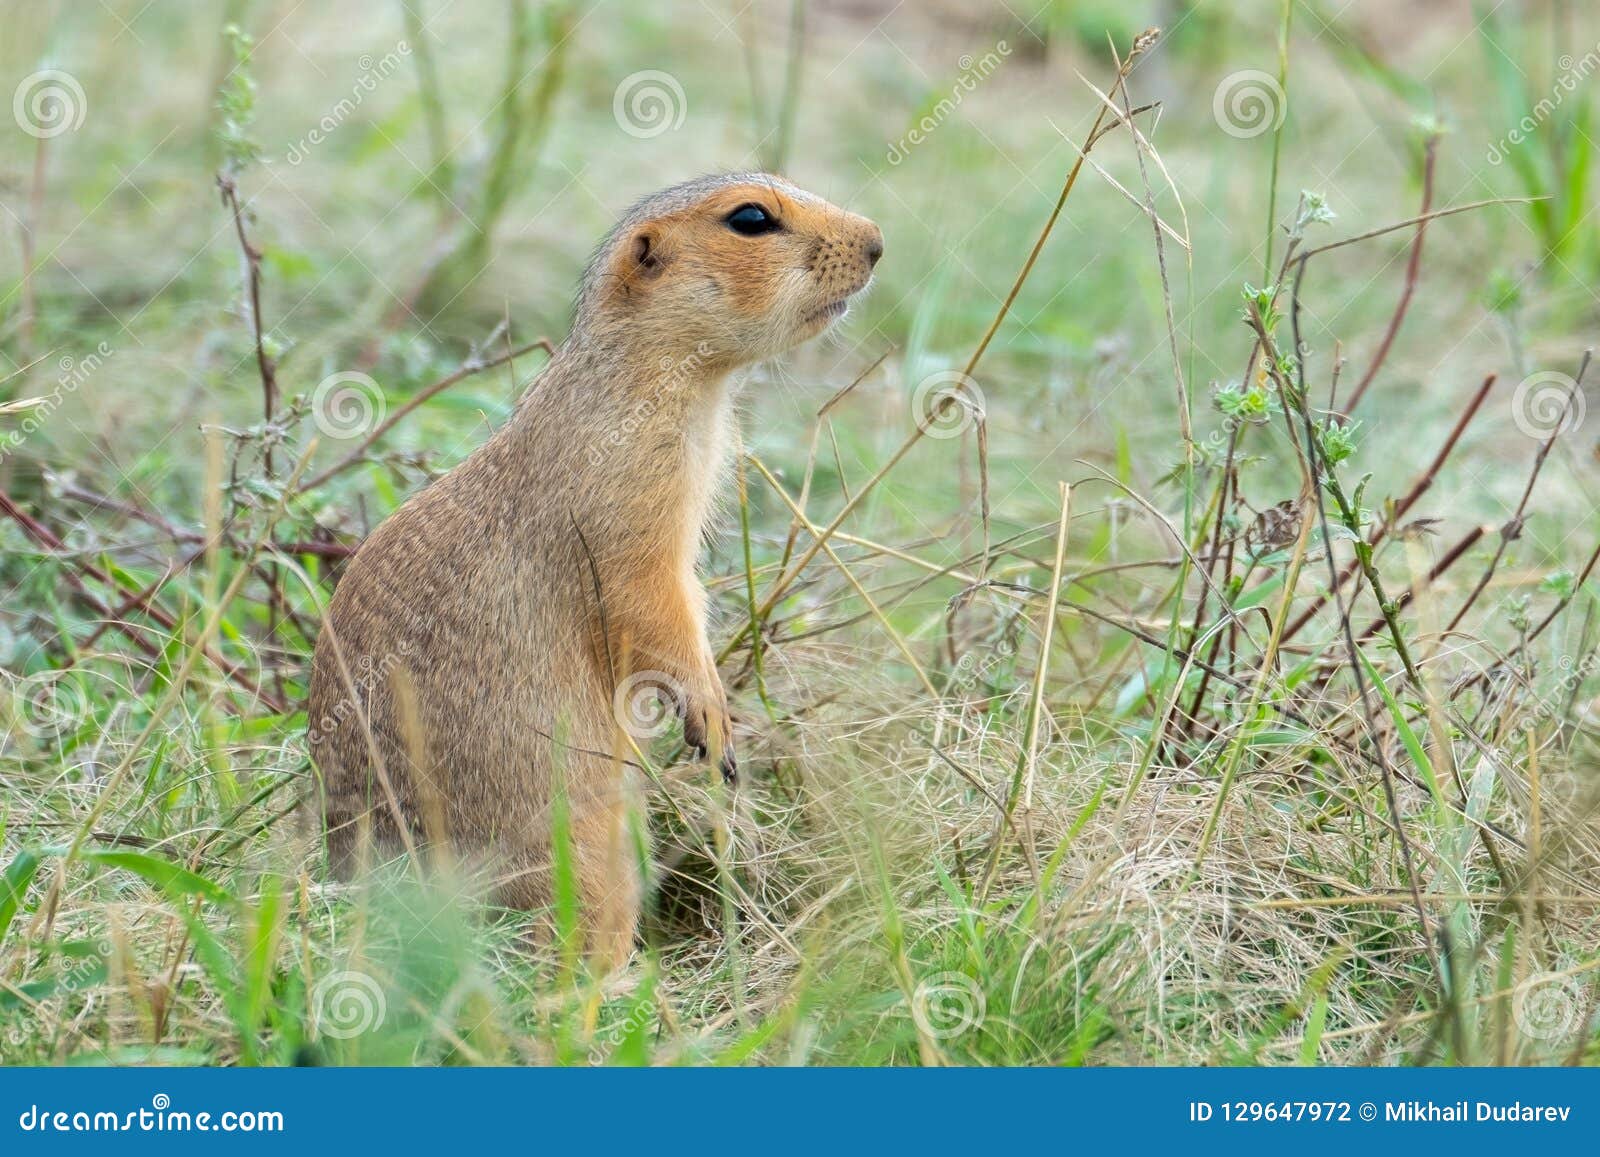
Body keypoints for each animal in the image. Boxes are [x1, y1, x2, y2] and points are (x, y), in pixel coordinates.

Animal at [307, 173, 883, 968]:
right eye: (751, 219)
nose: (878, 242)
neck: (658, 378)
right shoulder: (628, 501)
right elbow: (647, 601)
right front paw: (712, 714)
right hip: (584, 843)